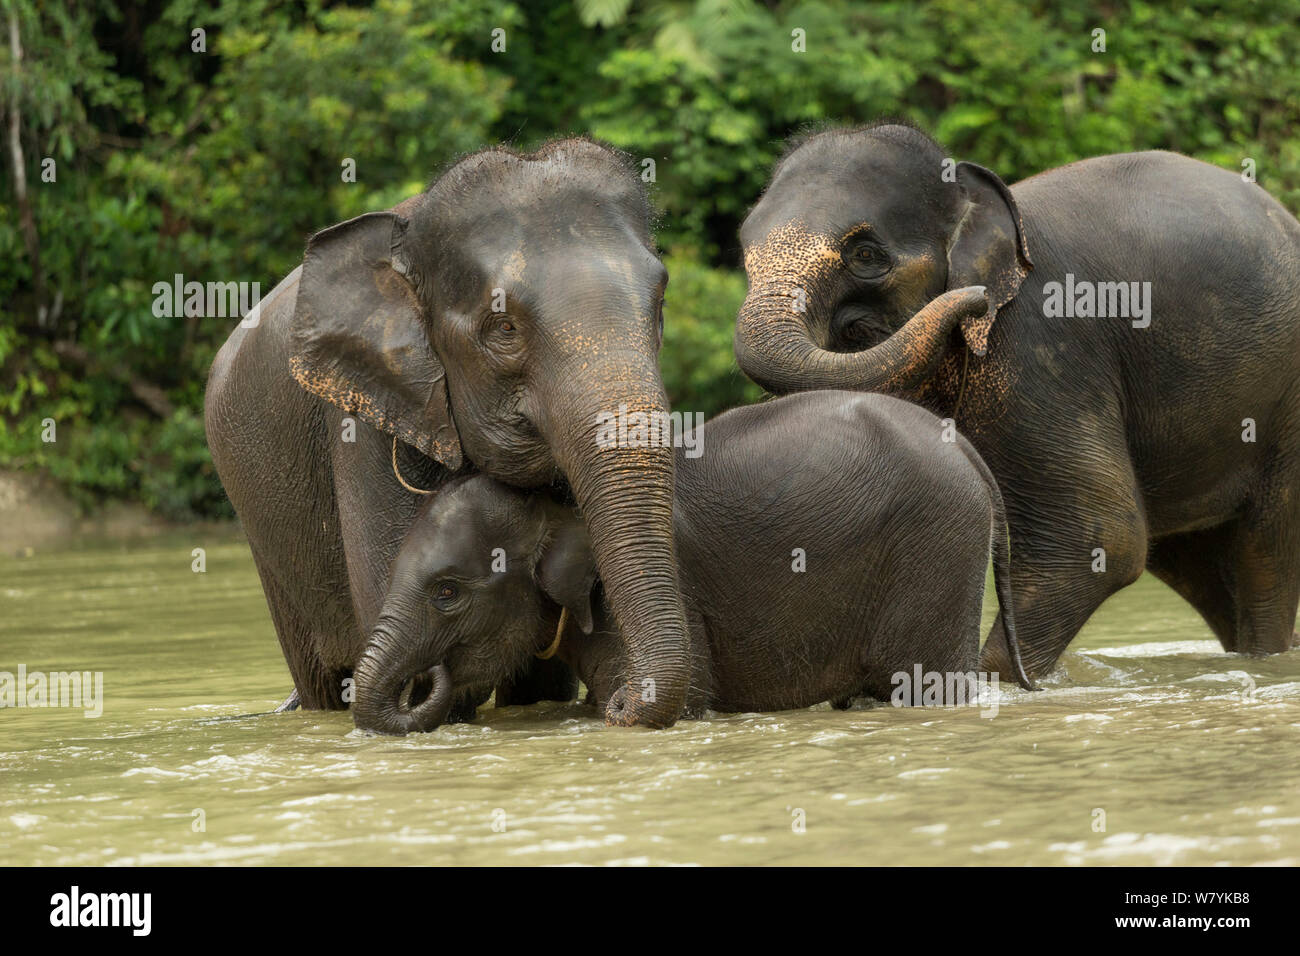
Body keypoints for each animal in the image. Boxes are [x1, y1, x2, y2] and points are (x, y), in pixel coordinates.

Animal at [350, 387, 1036, 734]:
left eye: (447, 593)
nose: (430, 676)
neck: (556, 504)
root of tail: (969, 453)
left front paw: (623, 709)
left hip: (939, 549)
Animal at [733, 122, 1300, 679]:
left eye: (866, 256)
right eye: (744, 255)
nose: (974, 299)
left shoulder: (1042, 344)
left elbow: (1100, 538)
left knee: (1264, 554)